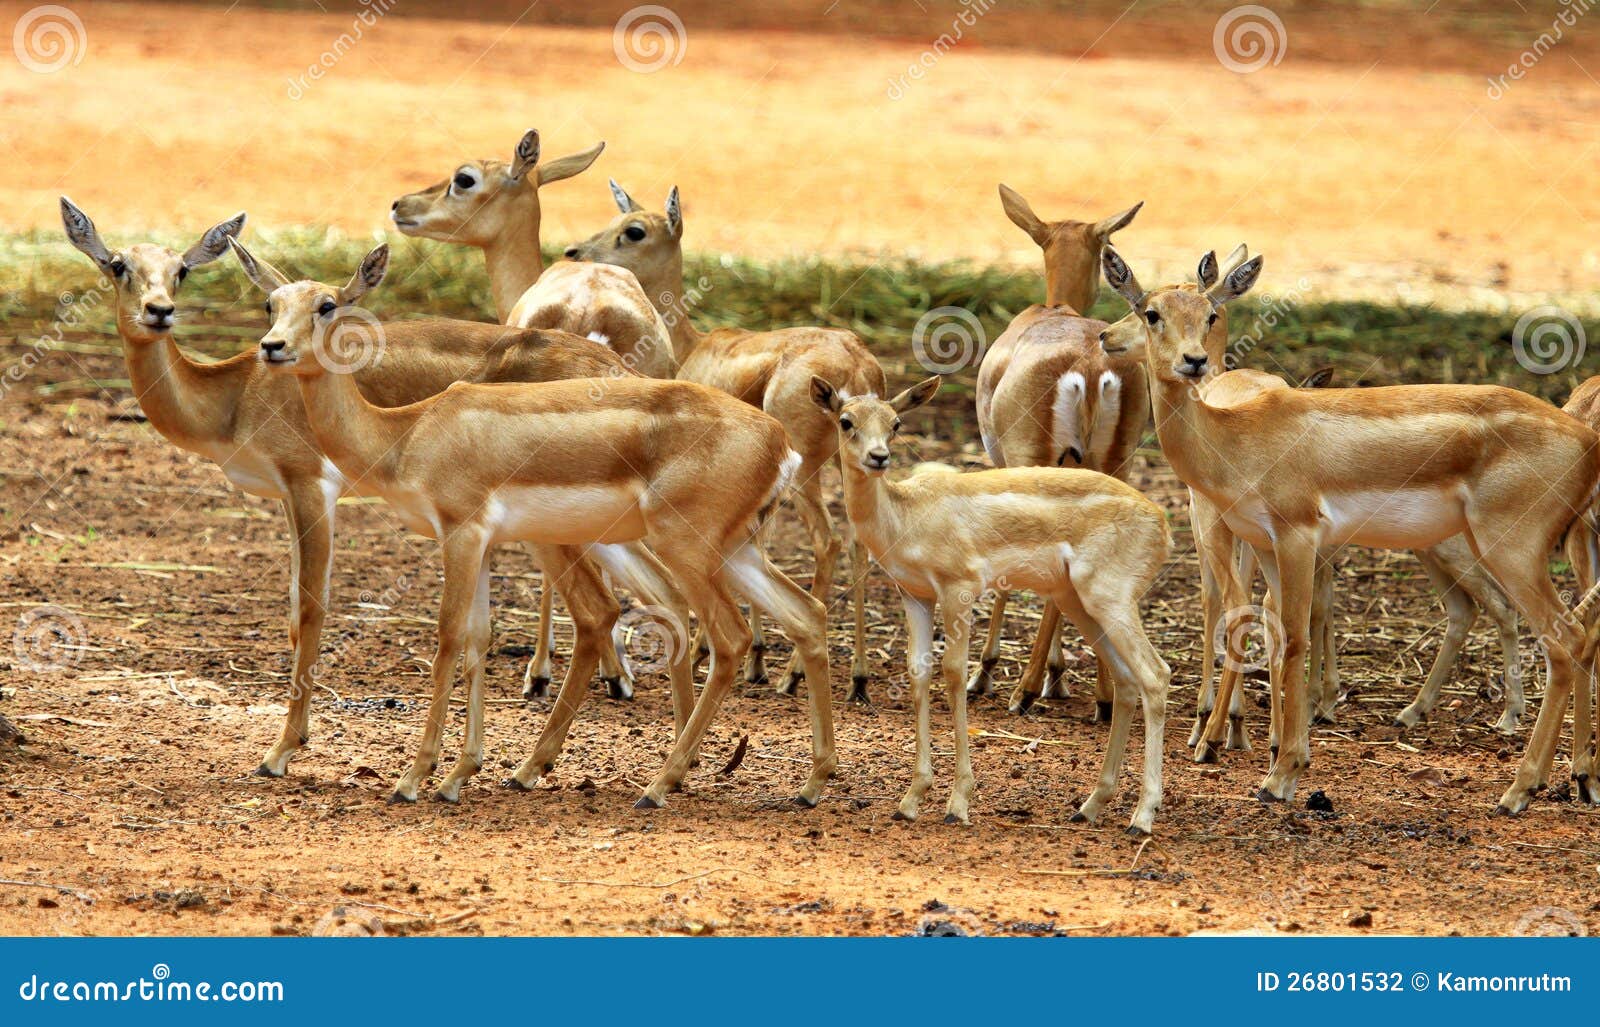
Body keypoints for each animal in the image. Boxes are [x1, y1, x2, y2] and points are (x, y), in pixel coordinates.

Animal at [60, 197, 660, 786]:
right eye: (118, 265)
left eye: (181, 269)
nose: (158, 311)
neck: (235, 395)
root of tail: (614, 366)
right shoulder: (286, 498)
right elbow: (293, 614)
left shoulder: (311, 487)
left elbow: (311, 608)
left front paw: (281, 751)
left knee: (605, 606)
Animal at [231, 239, 839, 808]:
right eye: (271, 303)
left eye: (327, 304)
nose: (272, 347)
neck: (407, 433)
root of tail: (778, 443)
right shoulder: (478, 544)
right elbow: (478, 638)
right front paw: (456, 777)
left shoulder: (461, 534)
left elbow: (448, 638)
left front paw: (412, 778)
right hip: (736, 552)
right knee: (806, 615)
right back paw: (811, 783)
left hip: (684, 548)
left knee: (729, 637)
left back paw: (657, 784)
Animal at [563, 180, 887, 703]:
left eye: (634, 231)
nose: (575, 253)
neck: (696, 346)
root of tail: (856, 361)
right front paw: (753, 657)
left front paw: (713, 653)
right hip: (852, 462)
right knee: (859, 542)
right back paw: (856, 677)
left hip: (808, 472)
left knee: (829, 540)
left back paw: (793, 673)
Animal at [812, 375, 1172, 832]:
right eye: (846, 420)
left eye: (895, 422)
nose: (879, 457)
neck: (907, 515)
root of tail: (1162, 523)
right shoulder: (915, 594)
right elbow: (917, 673)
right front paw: (910, 800)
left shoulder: (959, 588)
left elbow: (953, 673)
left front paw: (957, 803)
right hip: (1080, 603)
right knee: (1127, 681)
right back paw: (1089, 806)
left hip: (1111, 598)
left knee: (1155, 674)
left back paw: (1142, 816)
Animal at [1100, 245, 1600, 812]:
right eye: (1151, 312)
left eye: (1209, 314)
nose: (1193, 361)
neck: (1237, 434)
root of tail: (1587, 440)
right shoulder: (1268, 546)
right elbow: (1275, 633)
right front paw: (1281, 758)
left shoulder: (1295, 537)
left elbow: (1295, 637)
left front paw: (1279, 775)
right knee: (1567, 632)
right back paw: (1574, 779)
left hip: (1512, 549)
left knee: (1564, 637)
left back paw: (1518, 790)